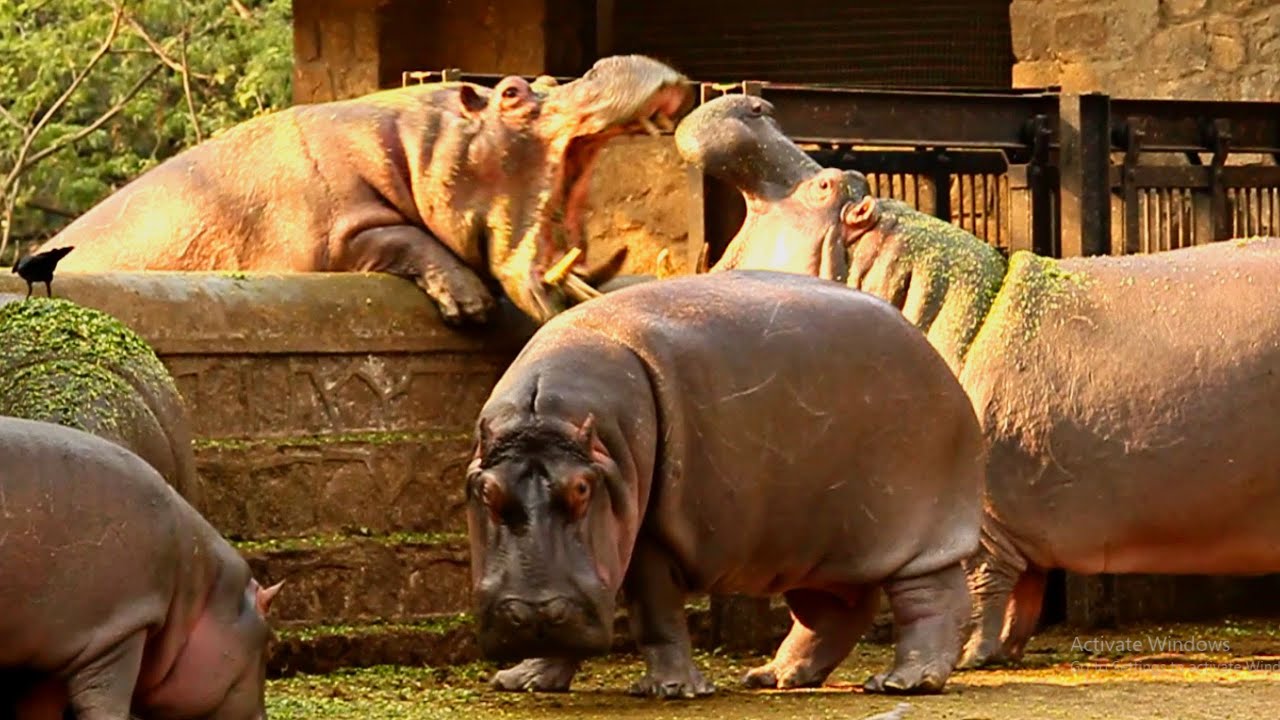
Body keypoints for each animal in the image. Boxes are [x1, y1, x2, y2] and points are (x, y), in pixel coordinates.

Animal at [0, 415, 281, 719]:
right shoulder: (118, 630)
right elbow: (106, 704)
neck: (197, 585)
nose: (264, 717)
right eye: (269, 646)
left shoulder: (48, 657)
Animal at [37, 55, 693, 326]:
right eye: (511, 92)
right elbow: (401, 236)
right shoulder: (333, 233)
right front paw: (470, 305)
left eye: (552, 78)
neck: (417, 146)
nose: (615, 64)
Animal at [464, 270, 985, 698]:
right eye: (486, 491)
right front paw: (523, 681)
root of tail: (932, 351)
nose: (532, 614)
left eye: (581, 490)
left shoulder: (652, 533)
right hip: (812, 544)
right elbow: (578, 623)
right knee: (834, 612)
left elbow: (655, 611)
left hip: (917, 532)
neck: (548, 420)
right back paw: (773, 677)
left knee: (932, 600)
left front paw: (672, 691)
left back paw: (904, 682)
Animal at [674, 93, 1280, 668]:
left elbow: (976, 586)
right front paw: (1001, 652)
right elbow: (1020, 594)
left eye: (825, 186)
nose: (757, 105)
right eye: (848, 176)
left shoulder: (974, 519)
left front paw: (967, 657)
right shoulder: (1017, 525)